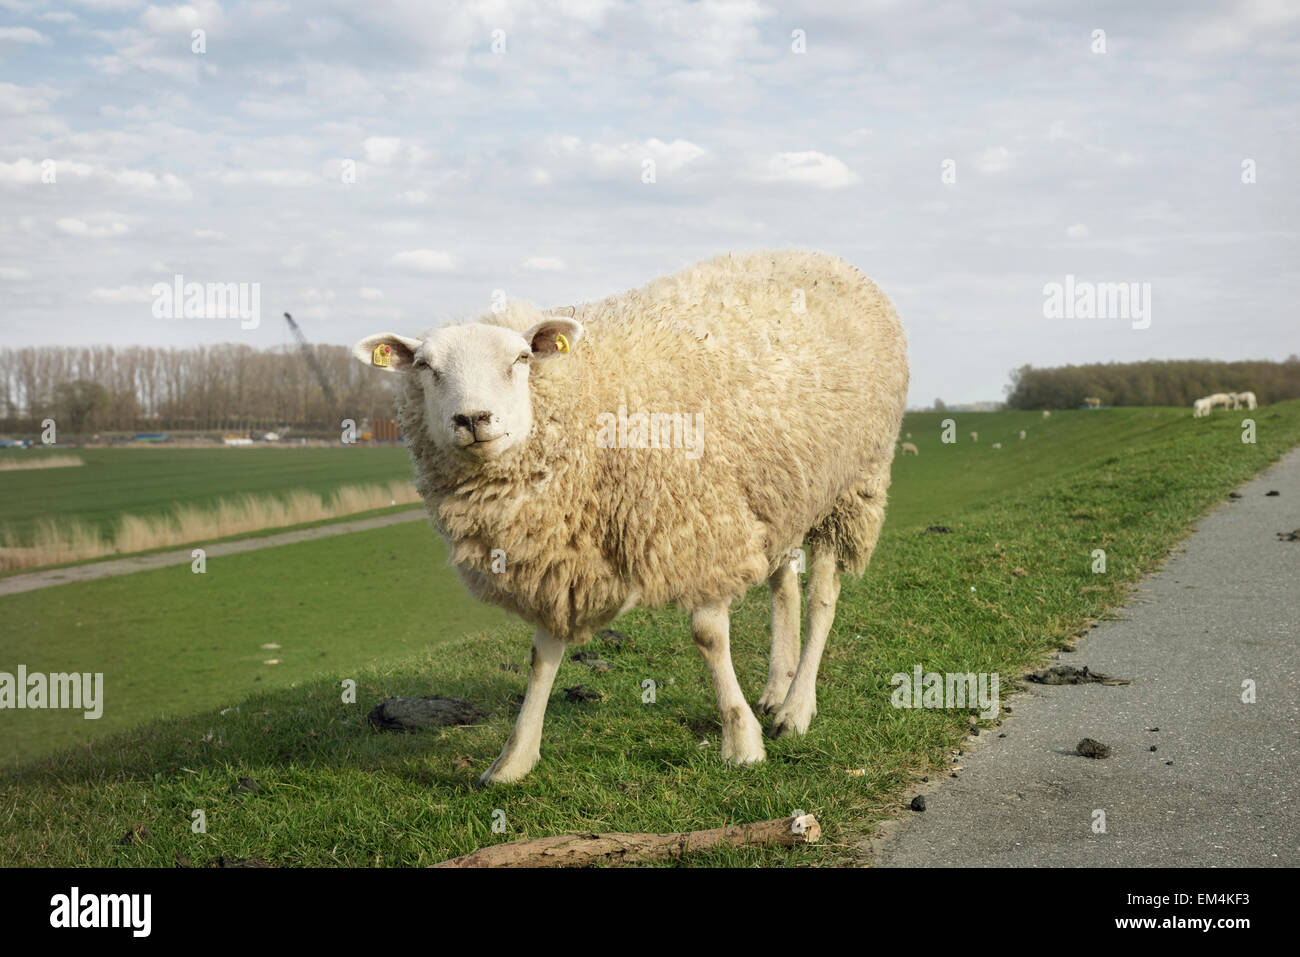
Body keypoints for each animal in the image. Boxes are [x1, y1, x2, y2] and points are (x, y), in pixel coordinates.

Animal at [352, 250, 909, 784]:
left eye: (521, 358)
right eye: (426, 367)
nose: (472, 419)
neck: (591, 396)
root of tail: (828, 260)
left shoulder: (696, 522)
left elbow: (709, 636)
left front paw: (741, 742)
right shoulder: (564, 555)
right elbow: (542, 656)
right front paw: (513, 759)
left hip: (851, 486)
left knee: (822, 598)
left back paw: (796, 708)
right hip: (782, 490)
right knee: (784, 585)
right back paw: (778, 686)